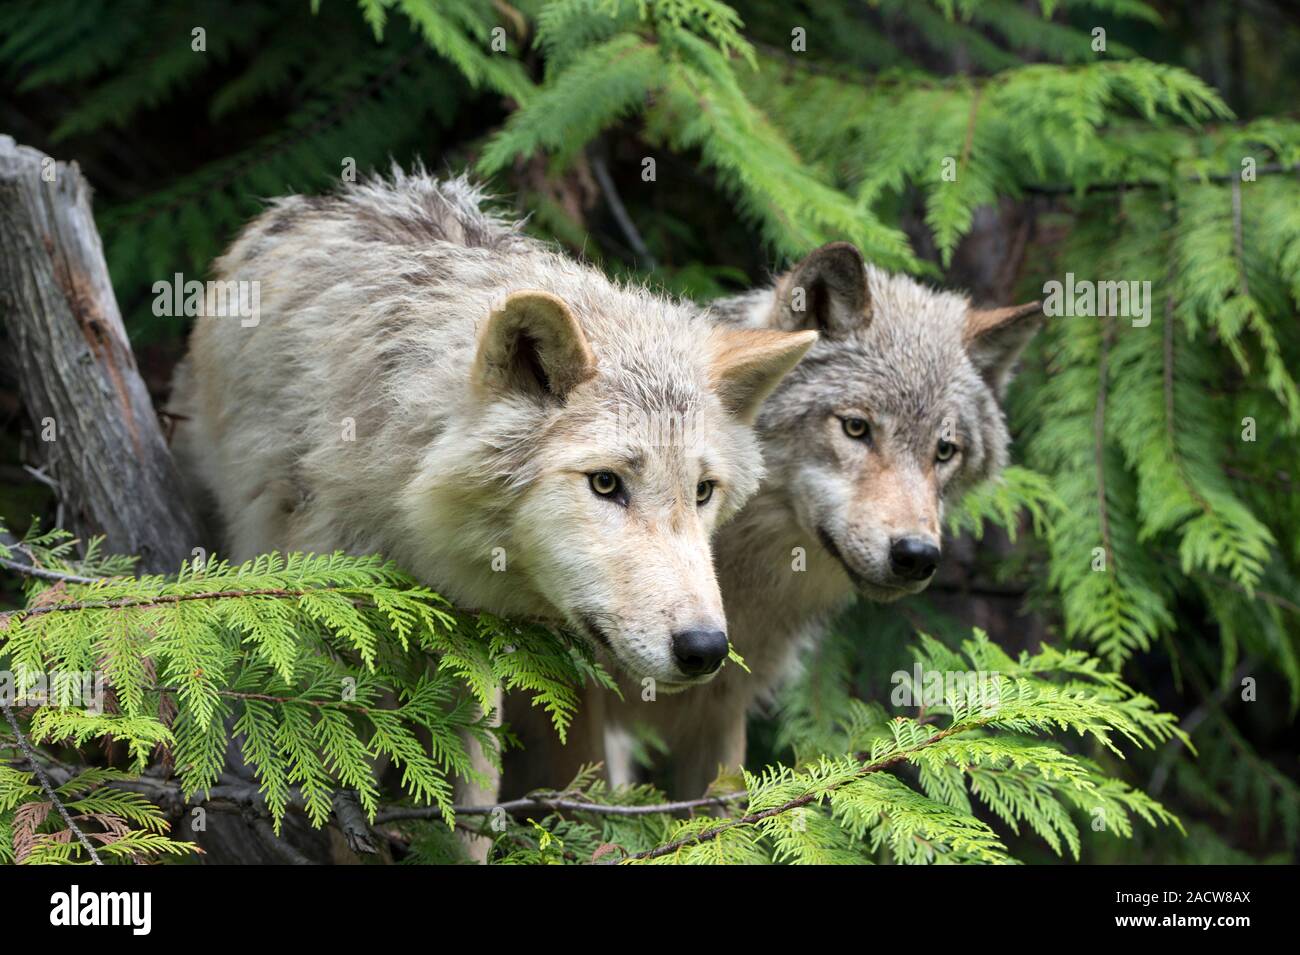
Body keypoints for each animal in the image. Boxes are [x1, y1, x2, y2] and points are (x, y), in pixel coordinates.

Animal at [503, 242, 1042, 799]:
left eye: (945, 451)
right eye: (856, 428)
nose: (916, 555)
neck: (736, 567)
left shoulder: (720, 707)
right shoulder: (576, 703)